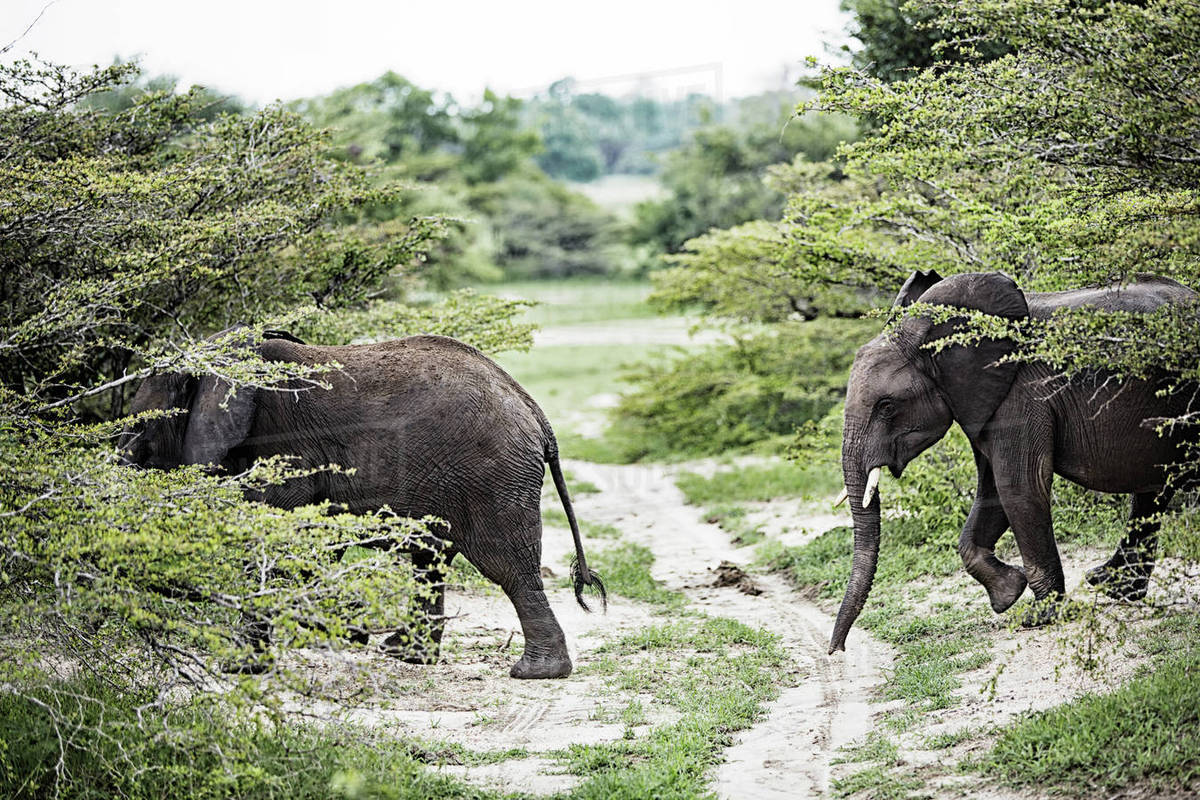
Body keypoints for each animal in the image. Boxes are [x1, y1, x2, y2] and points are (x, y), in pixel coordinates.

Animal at [120, 332, 606, 679]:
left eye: (142, 425)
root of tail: (536, 412)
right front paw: (338, 630)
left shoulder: (282, 450)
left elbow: (275, 543)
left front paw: (242, 668)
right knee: (429, 561)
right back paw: (407, 655)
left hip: (492, 475)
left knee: (505, 567)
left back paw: (535, 672)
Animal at [829, 270, 1197, 653]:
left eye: (886, 407)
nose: (837, 651)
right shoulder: (982, 403)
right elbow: (991, 494)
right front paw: (1008, 594)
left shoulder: (1021, 394)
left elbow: (1018, 487)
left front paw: (1039, 617)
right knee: (1153, 491)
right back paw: (1112, 586)